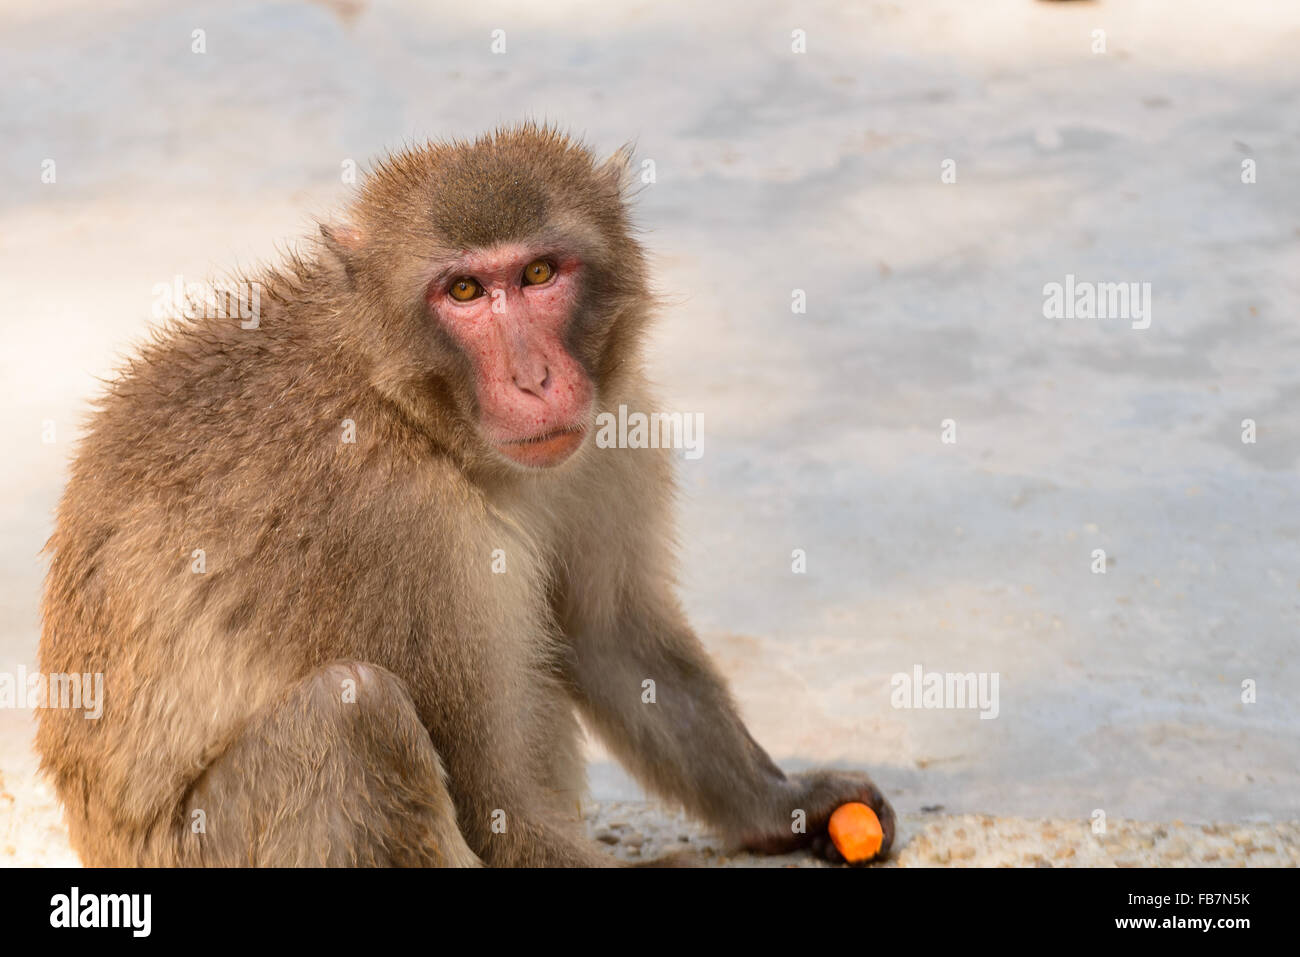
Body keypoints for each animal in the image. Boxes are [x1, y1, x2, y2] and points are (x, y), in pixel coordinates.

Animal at [36, 124, 896, 867]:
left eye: (540, 274)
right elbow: (499, 811)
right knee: (353, 712)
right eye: (465, 290)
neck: (416, 415)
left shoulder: (608, 436)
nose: (533, 378)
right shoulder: (392, 527)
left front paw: (783, 804)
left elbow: (611, 632)